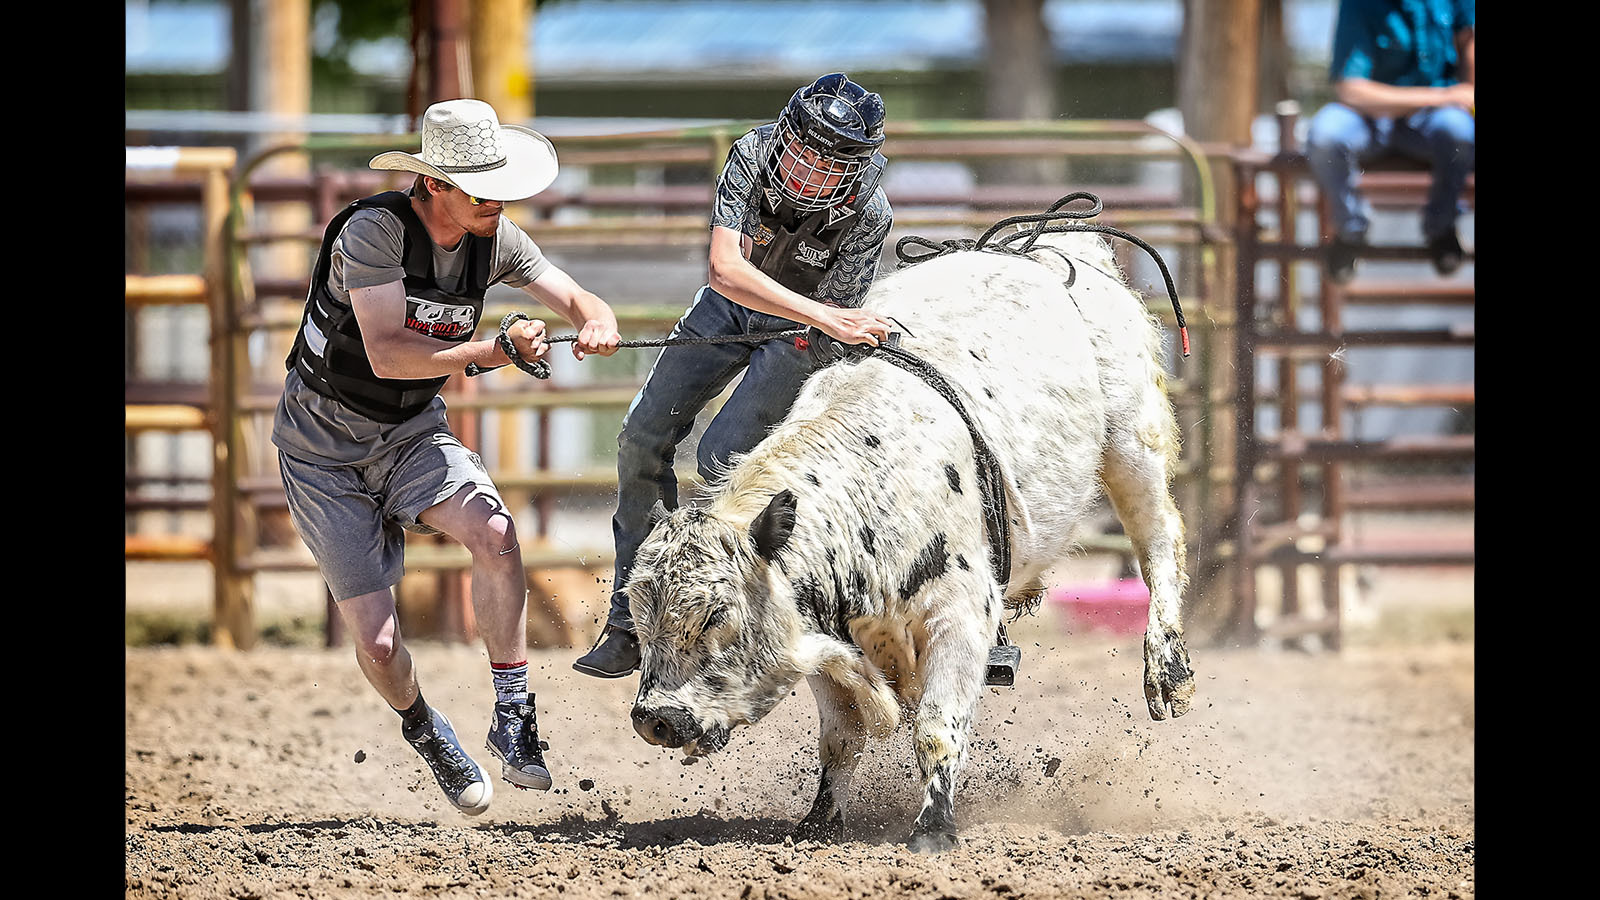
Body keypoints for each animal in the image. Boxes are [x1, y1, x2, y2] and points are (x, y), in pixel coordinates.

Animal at [623, 229, 1197, 852]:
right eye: (639, 619)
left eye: (714, 615)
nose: (655, 718)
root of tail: (1048, 246)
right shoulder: (821, 631)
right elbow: (841, 737)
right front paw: (819, 822)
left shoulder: (961, 617)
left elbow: (936, 728)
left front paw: (933, 827)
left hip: (1133, 441)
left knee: (1159, 539)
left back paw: (1167, 669)